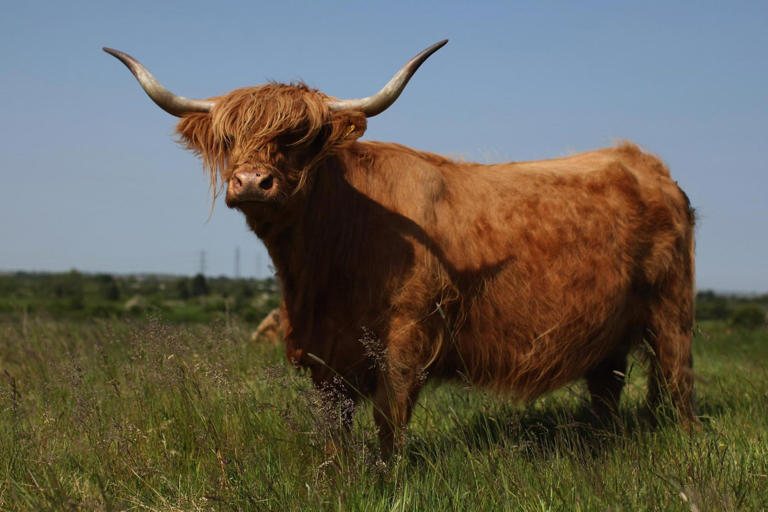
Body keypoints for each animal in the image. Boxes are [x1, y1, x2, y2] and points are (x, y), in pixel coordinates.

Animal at [105, 40, 697, 456]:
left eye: (300, 138)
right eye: (228, 140)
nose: (252, 182)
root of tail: (641, 161)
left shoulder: (408, 338)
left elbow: (389, 424)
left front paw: (386, 480)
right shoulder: (325, 356)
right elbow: (333, 429)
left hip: (672, 313)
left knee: (677, 385)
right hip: (609, 332)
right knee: (607, 390)